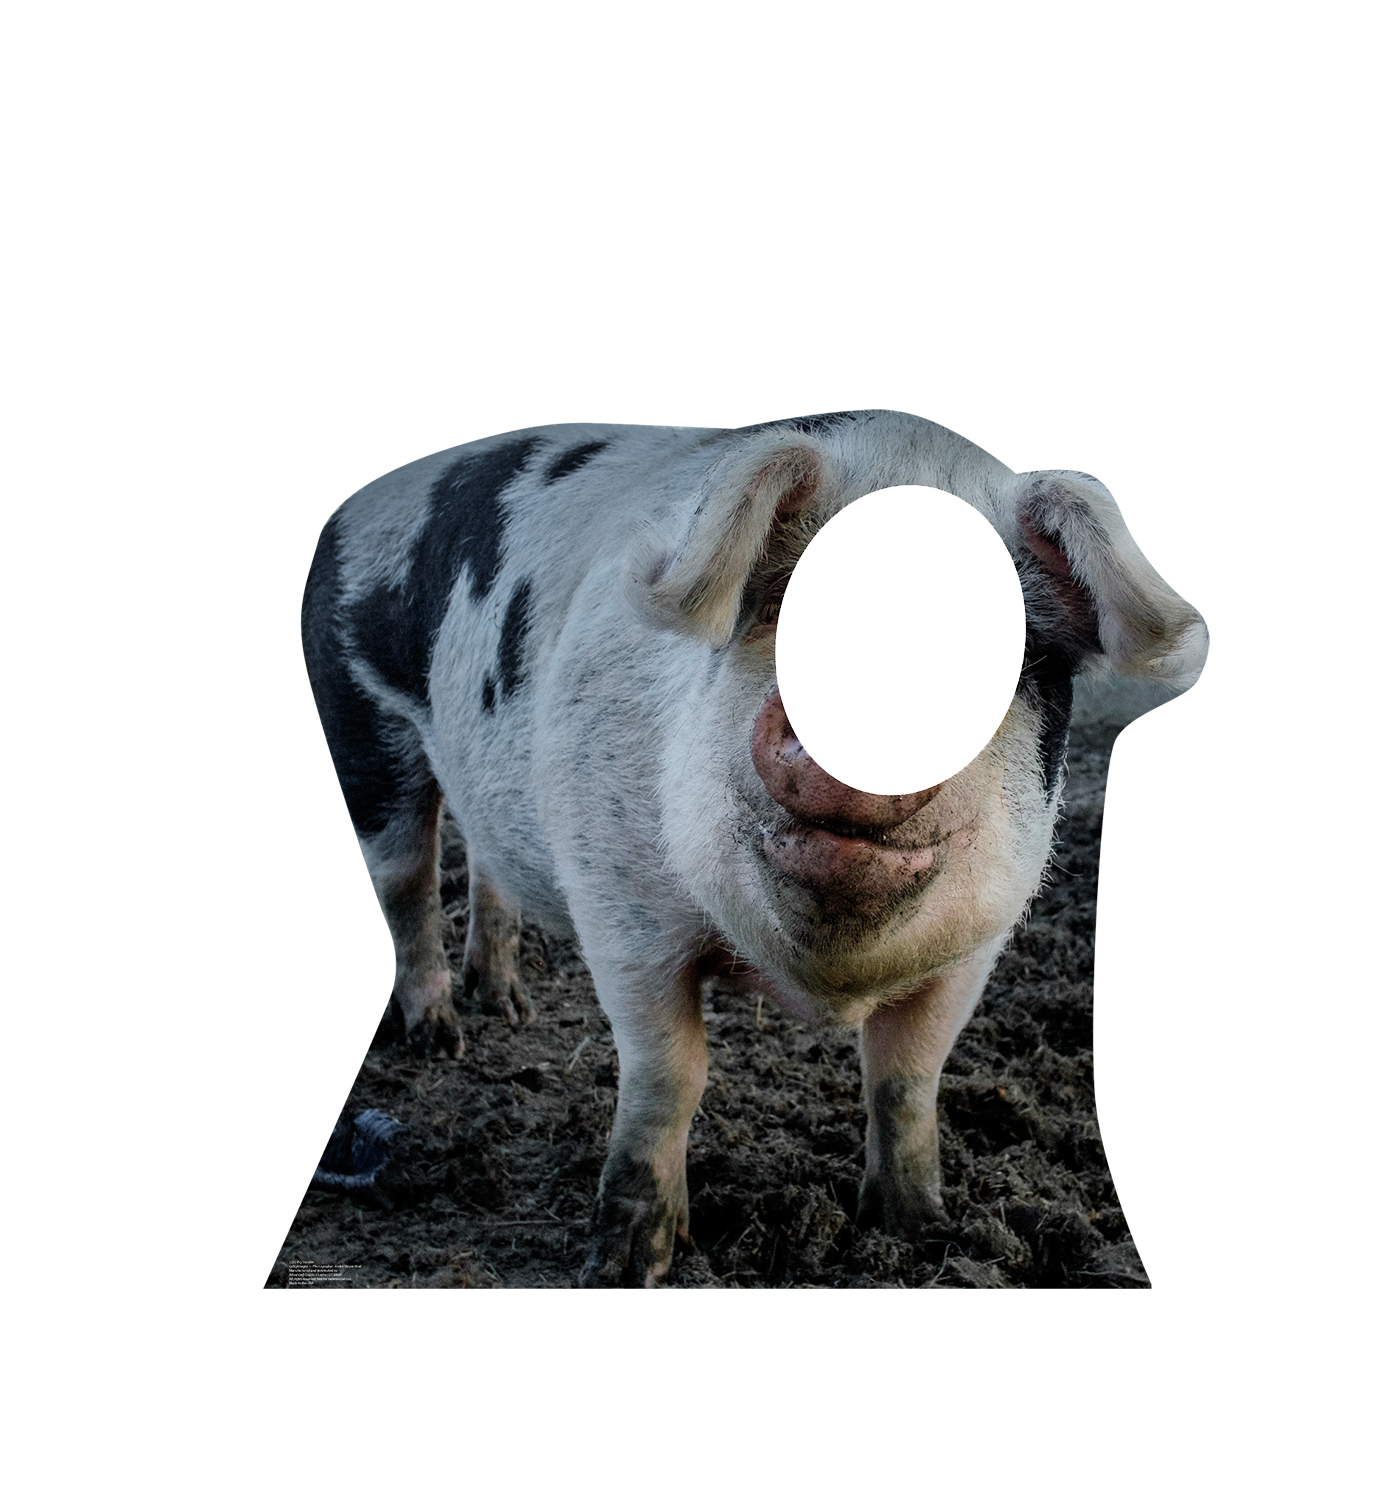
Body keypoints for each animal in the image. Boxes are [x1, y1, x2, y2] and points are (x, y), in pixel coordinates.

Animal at [301, 410, 1207, 1287]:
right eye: (788, 604)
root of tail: (351, 504)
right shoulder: (620, 905)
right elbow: (668, 1073)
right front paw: (628, 1266)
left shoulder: (975, 944)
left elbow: (910, 1076)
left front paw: (917, 1231)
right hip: (358, 724)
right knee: (408, 883)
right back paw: (442, 1037)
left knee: (486, 867)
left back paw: (505, 1007)